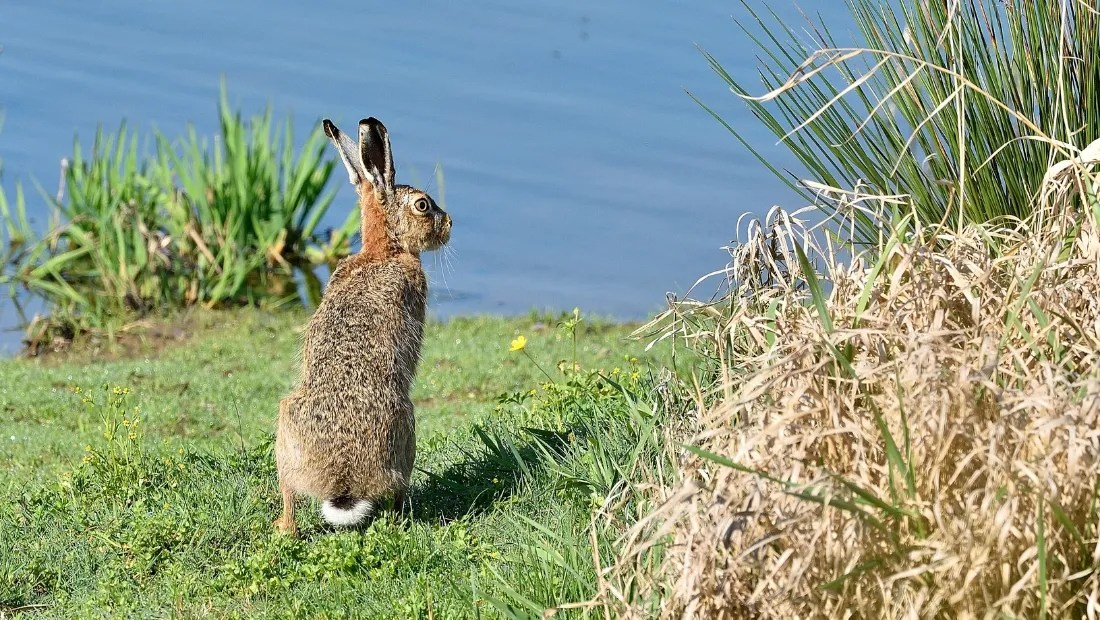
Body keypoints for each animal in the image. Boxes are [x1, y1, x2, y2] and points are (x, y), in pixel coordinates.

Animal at [273, 117, 452, 536]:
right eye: (423, 205)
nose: (450, 224)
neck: (382, 251)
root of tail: (344, 480)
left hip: (285, 429)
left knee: (288, 496)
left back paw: (282, 527)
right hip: (406, 428)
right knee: (399, 491)